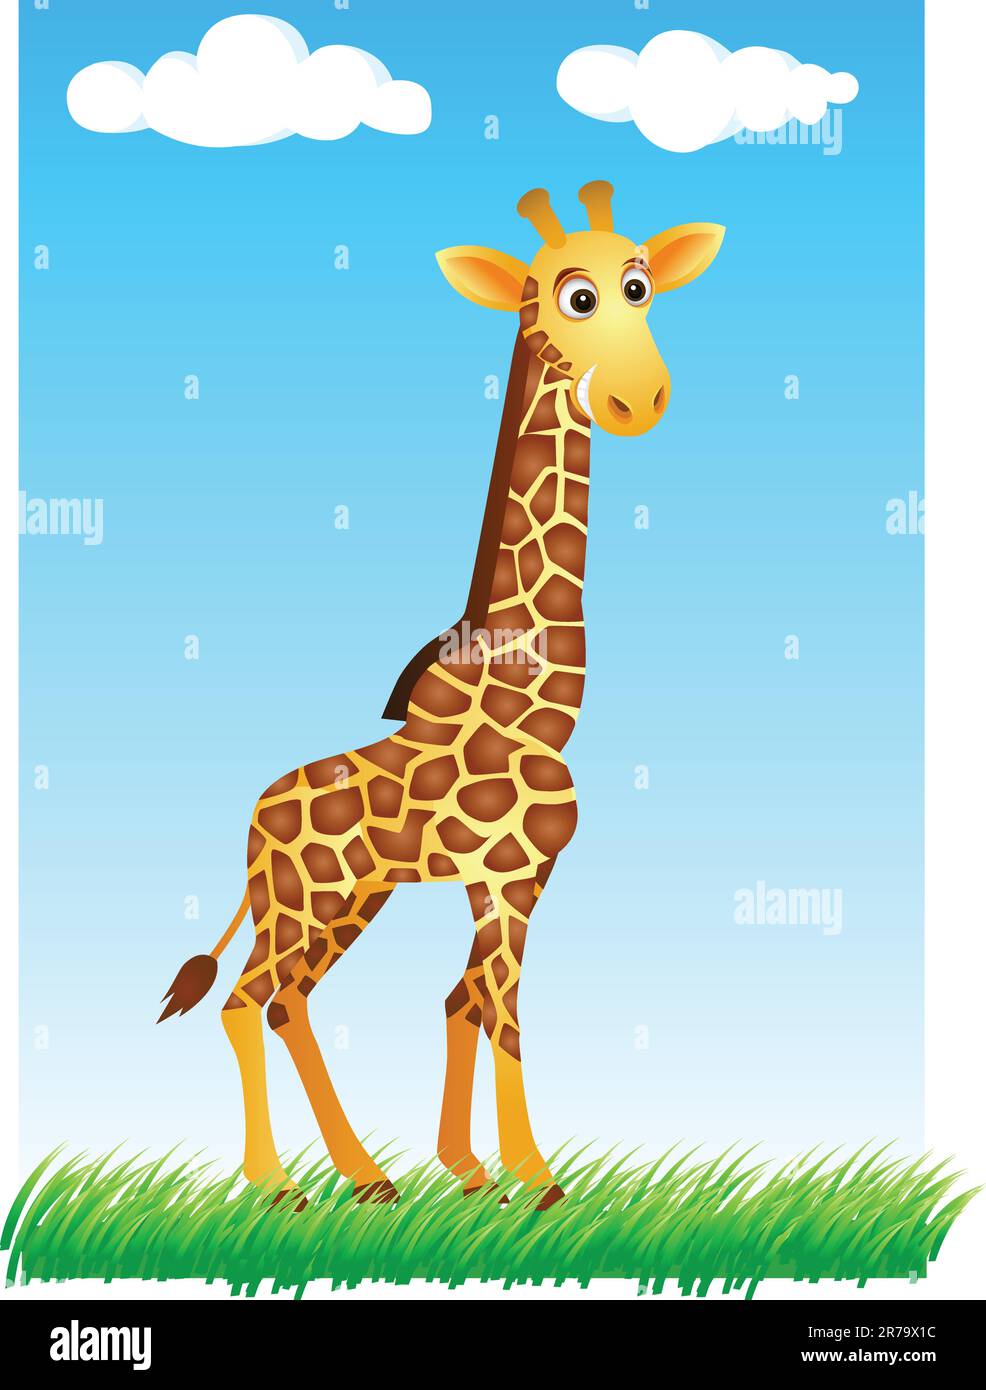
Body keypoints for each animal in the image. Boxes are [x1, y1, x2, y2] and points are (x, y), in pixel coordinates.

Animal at [160, 181, 725, 1209]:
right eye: (577, 296)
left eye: (642, 286)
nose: (640, 399)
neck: (537, 700)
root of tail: (251, 825)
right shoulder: (505, 877)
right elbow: (502, 1011)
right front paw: (538, 1185)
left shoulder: (514, 879)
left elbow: (465, 1001)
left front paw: (470, 1172)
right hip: (305, 900)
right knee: (247, 998)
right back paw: (282, 1185)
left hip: (354, 897)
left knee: (287, 999)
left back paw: (368, 1178)